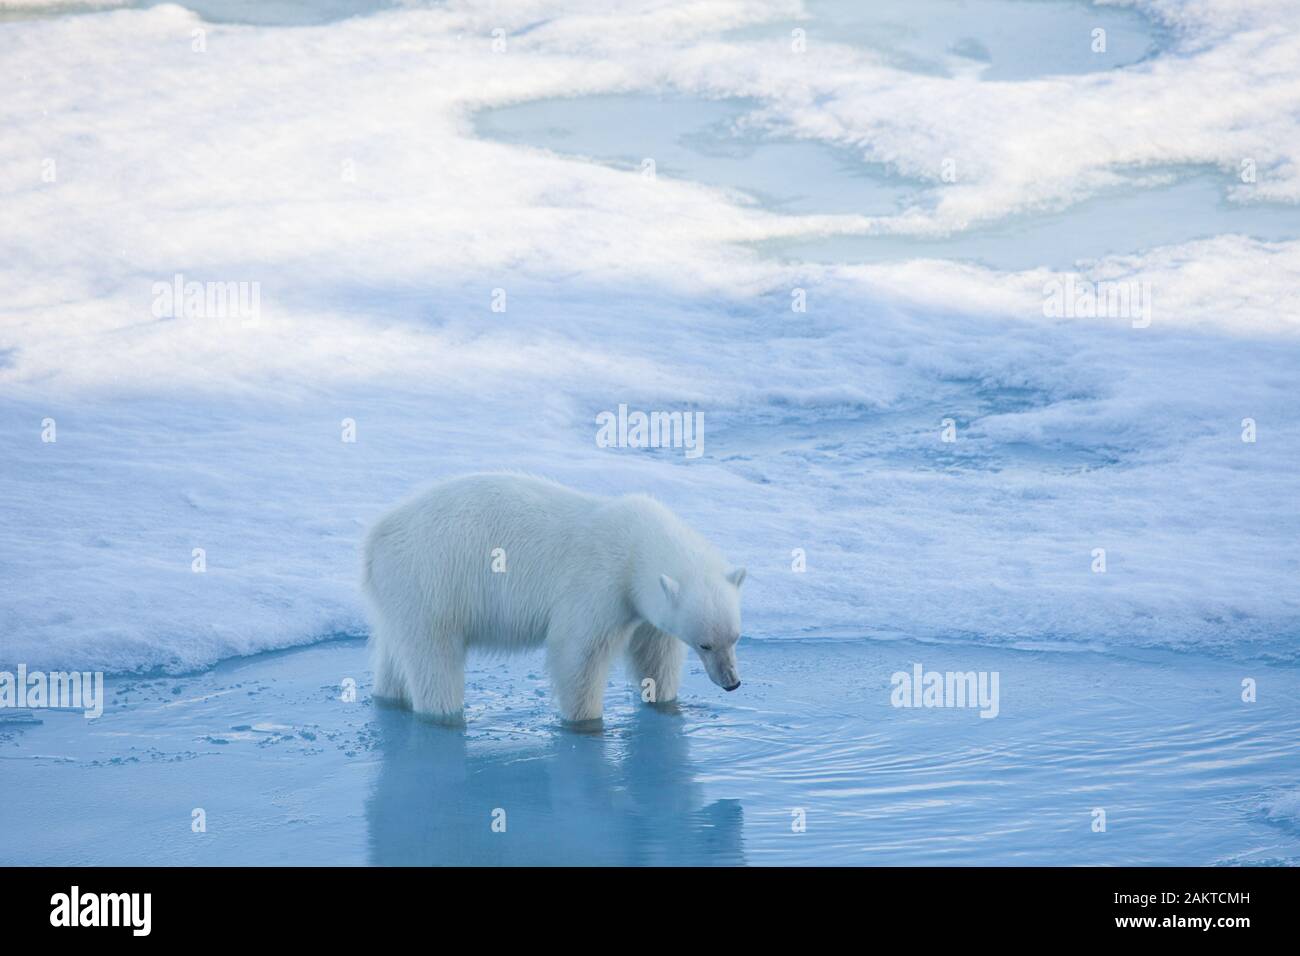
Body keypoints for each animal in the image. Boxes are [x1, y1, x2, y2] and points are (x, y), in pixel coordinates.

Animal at [362, 473, 746, 723]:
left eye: (734, 638)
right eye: (705, 644)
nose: (732, 683)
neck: (635, 543)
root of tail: (375, 537)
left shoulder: (643, 606)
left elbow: (654, 654)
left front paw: (667, 704)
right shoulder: (598, 582)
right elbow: (578, 652)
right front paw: (586, 722)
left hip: (398, 594)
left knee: (392, 658)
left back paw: (389, 697)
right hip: (430, 582)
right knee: (434, 661)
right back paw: (444, 713)